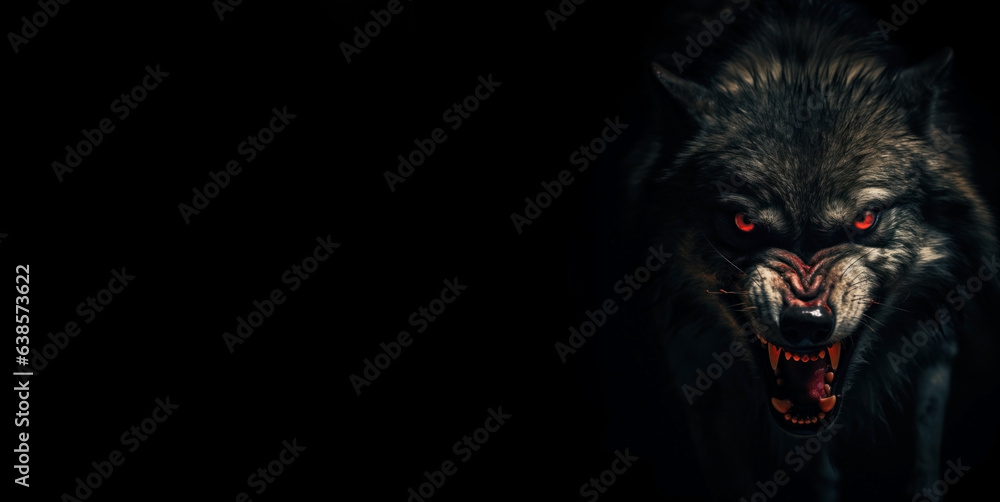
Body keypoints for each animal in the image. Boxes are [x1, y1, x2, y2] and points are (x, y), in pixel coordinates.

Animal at [605, 0, 1000, 500]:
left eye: (864, 219)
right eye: (743, 223)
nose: (806, 323)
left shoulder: (934, 353)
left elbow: (923, 464)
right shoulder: (696, 374)